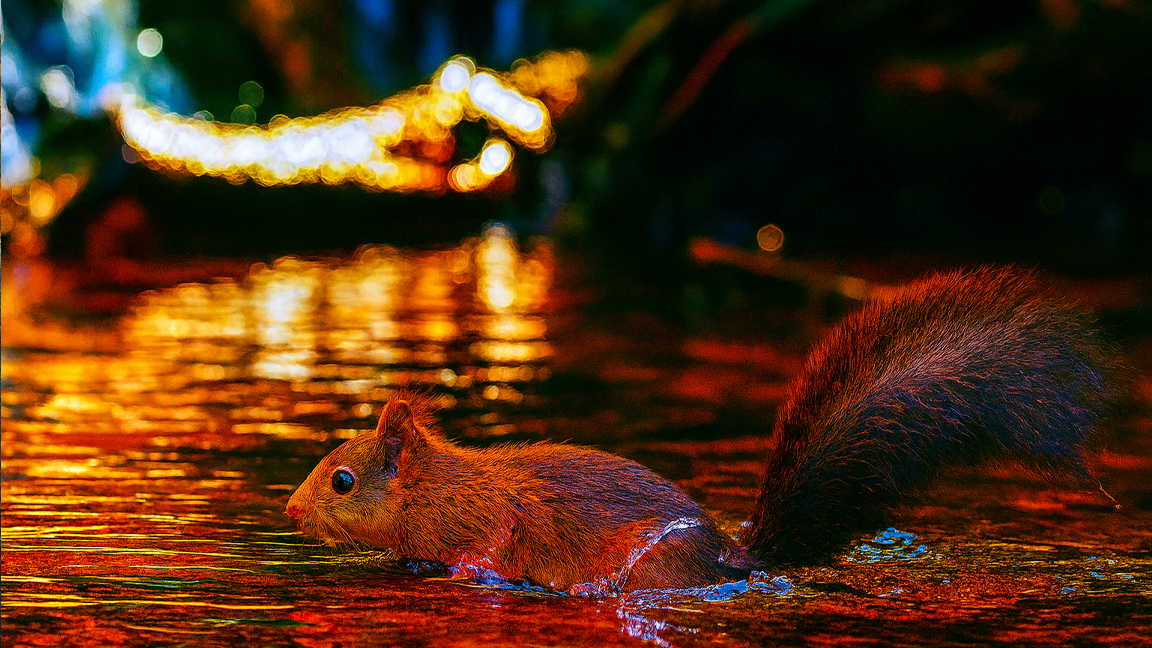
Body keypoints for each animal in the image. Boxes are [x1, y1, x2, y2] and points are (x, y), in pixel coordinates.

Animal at [286, 266, 1121, 595]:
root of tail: (734, 556)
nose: (289, 511)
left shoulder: (492, 512)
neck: (437, 488)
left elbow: (495, 542)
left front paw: (468, 569)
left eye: (342, 479)